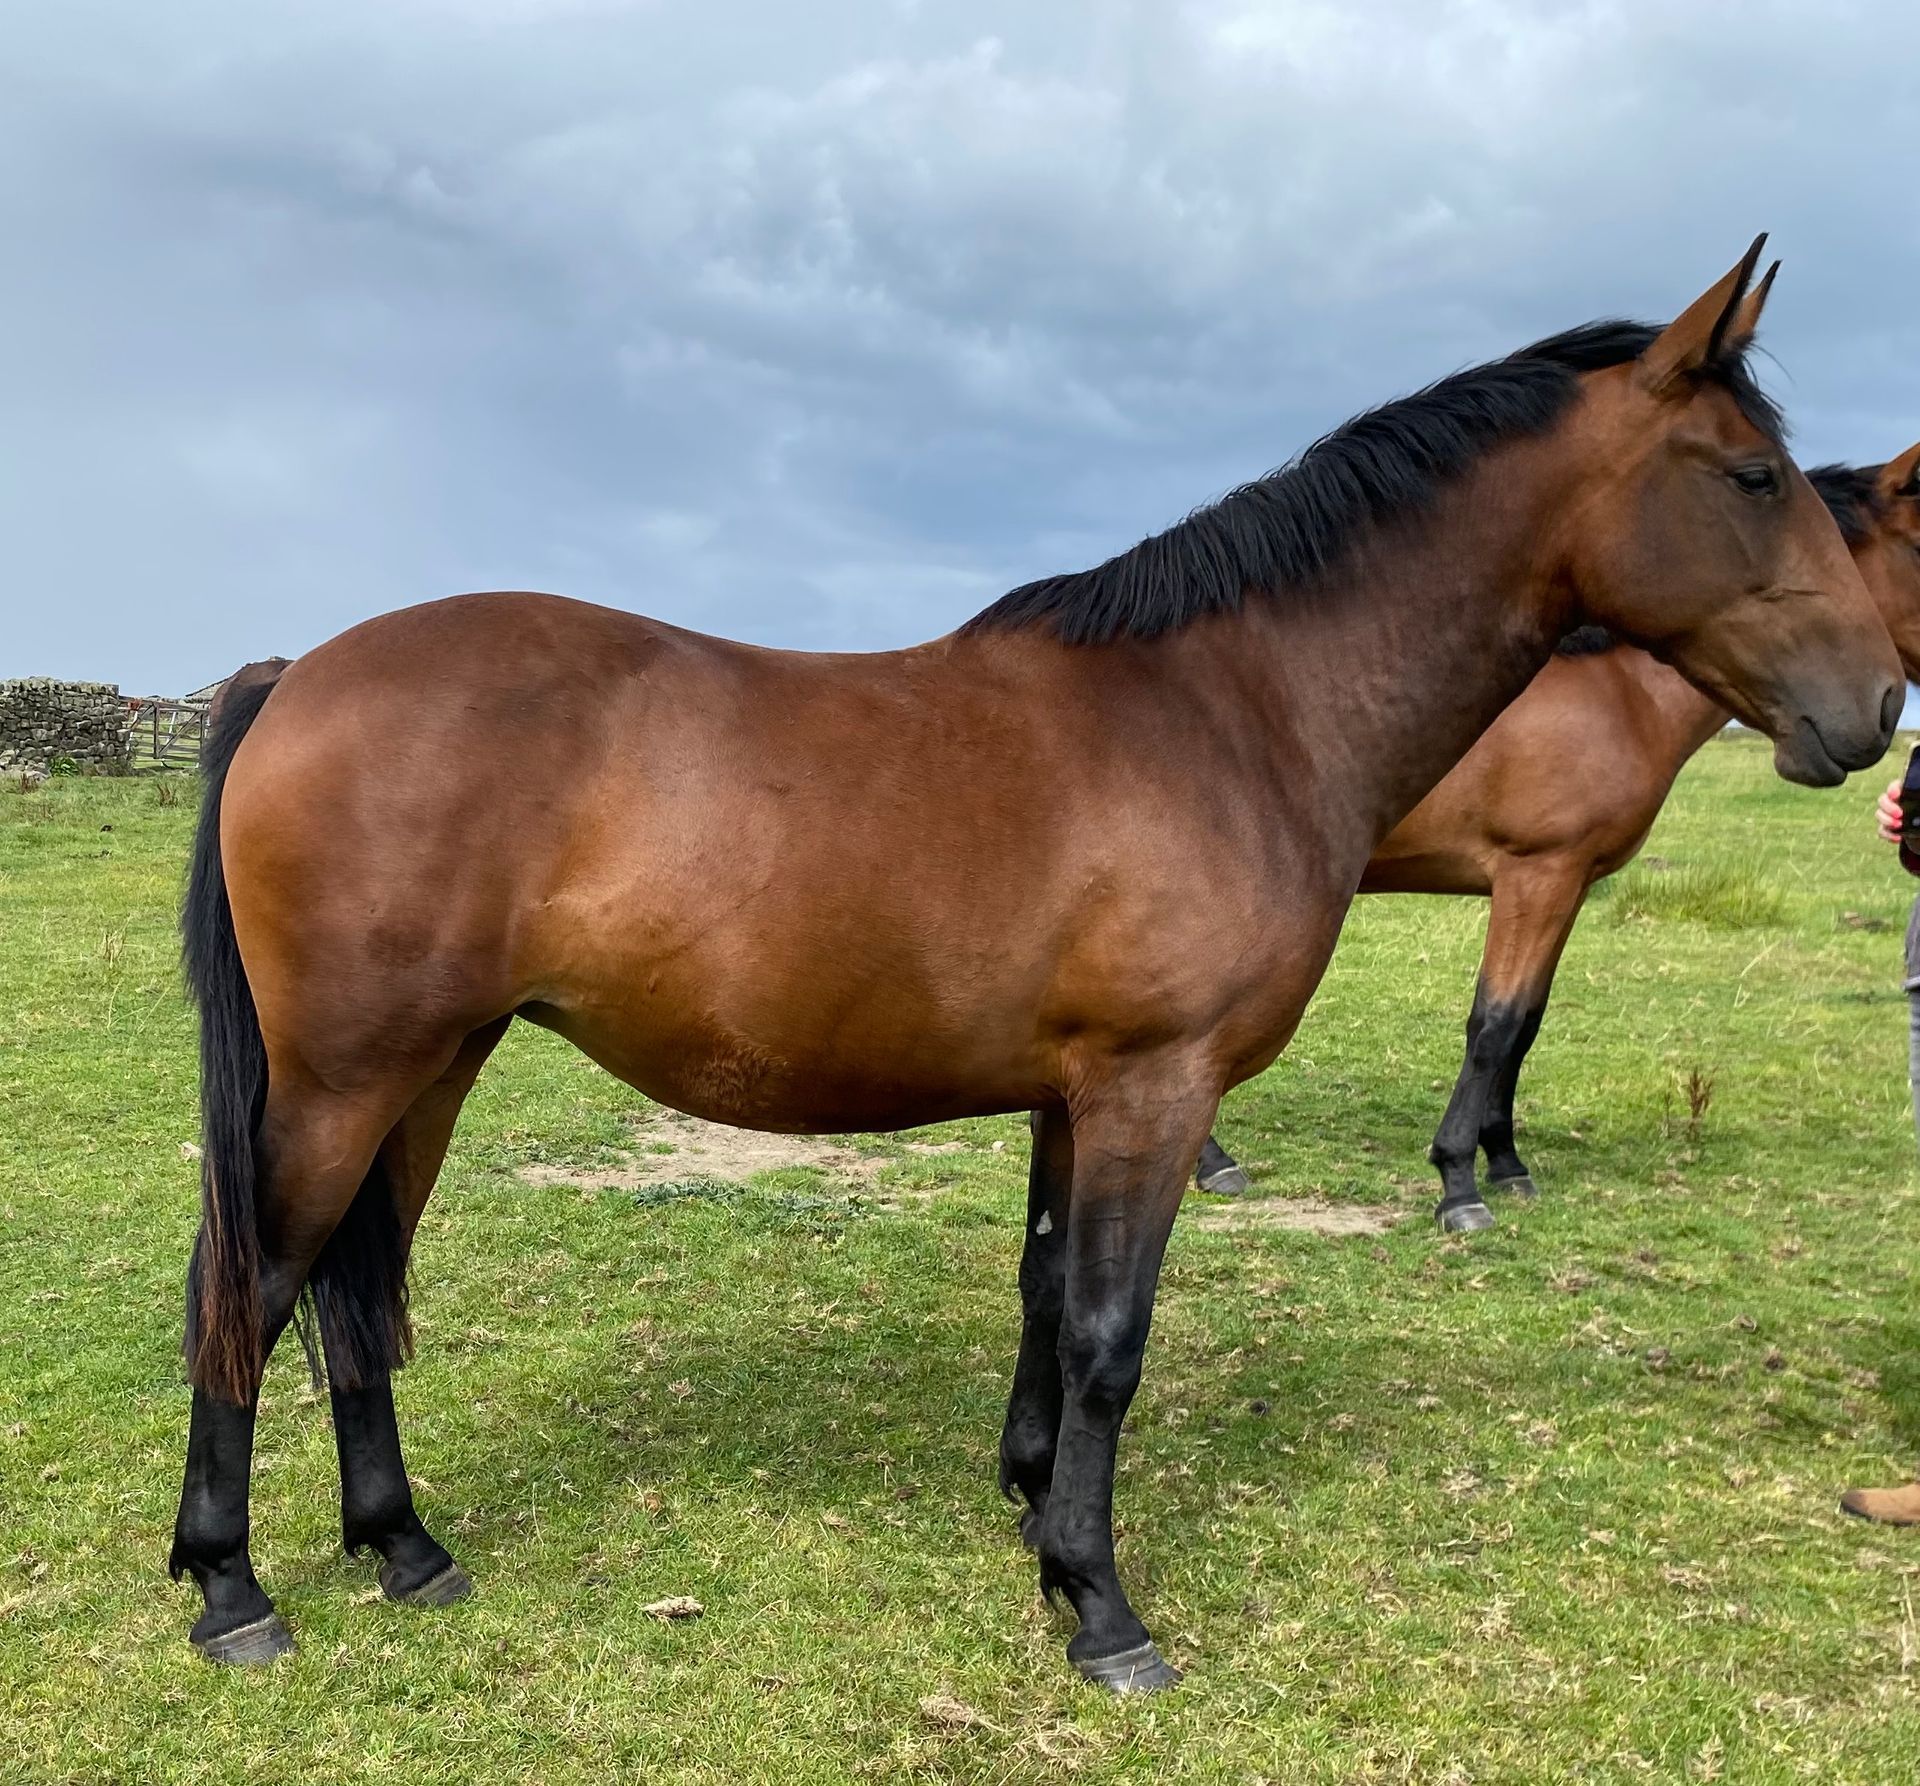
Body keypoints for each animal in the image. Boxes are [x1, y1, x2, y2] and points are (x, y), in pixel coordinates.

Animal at [1193, 443, 1920, 1230]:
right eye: (1918, 547)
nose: (1885, 707)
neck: (1619, 698)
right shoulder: (1534, 876)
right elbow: (1494, 1024)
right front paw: (1459, 1182)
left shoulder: (1570, 885)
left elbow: (1528, 1025)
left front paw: (1507, 1163)